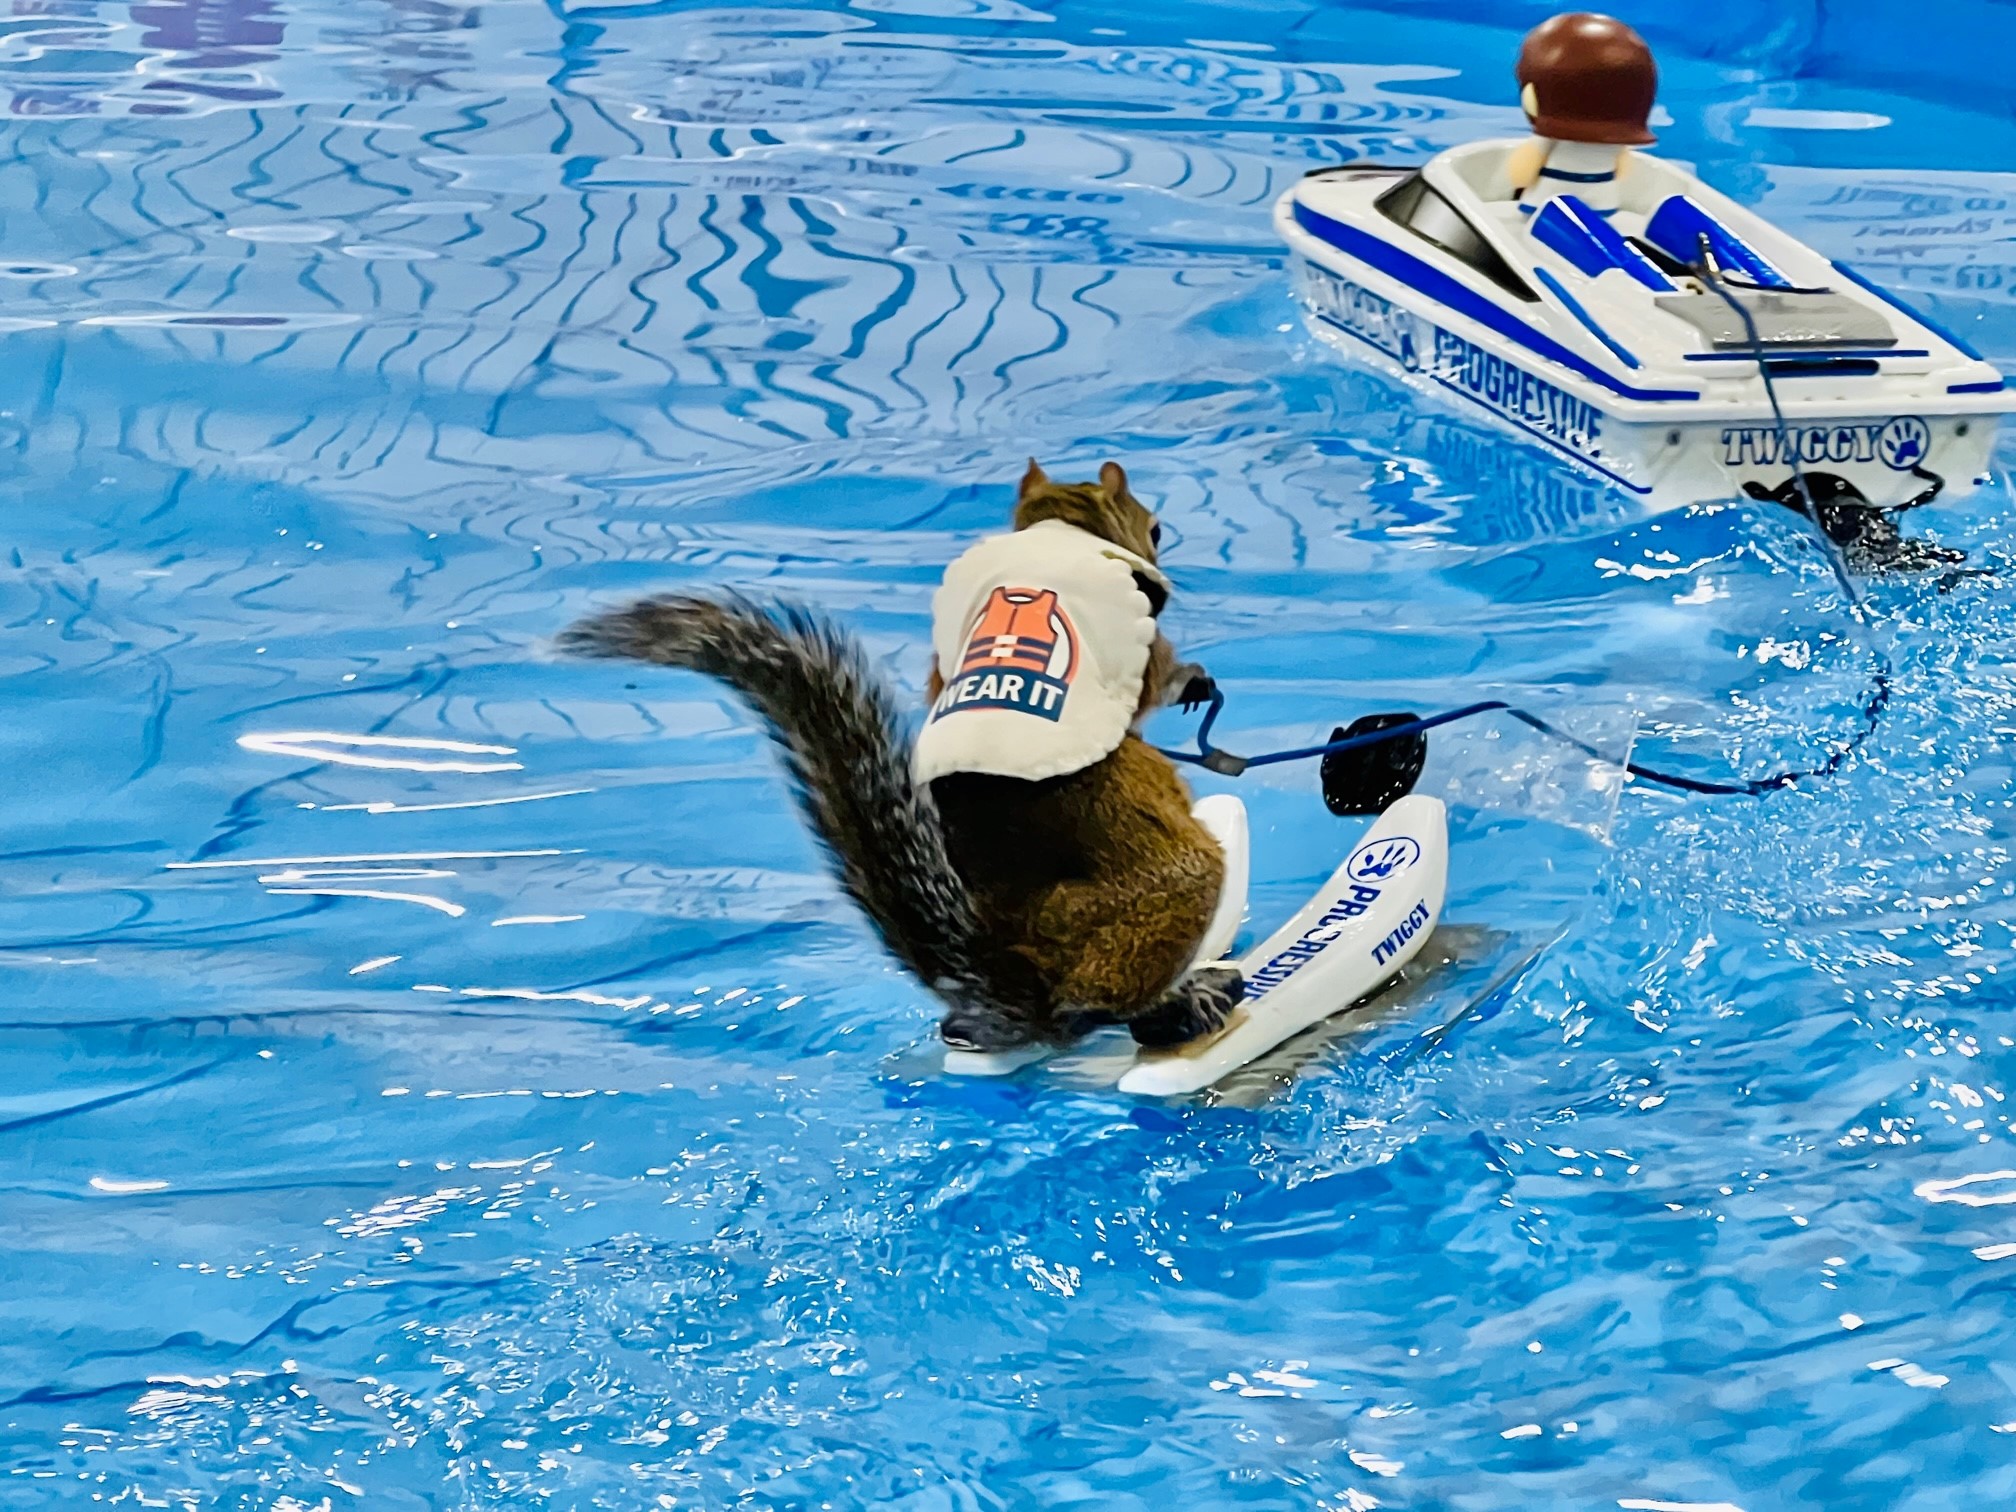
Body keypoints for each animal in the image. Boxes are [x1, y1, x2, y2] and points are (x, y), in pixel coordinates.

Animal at [560, 459, 1245, 1054]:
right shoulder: (1129, 621)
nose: (1162, 563)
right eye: (1154, 527)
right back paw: (1174, 1004)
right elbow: (1150, 678)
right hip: (1164, 882)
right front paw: (1189, 679)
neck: (1060, 529)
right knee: (1101, 1003)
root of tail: (1017, 987)